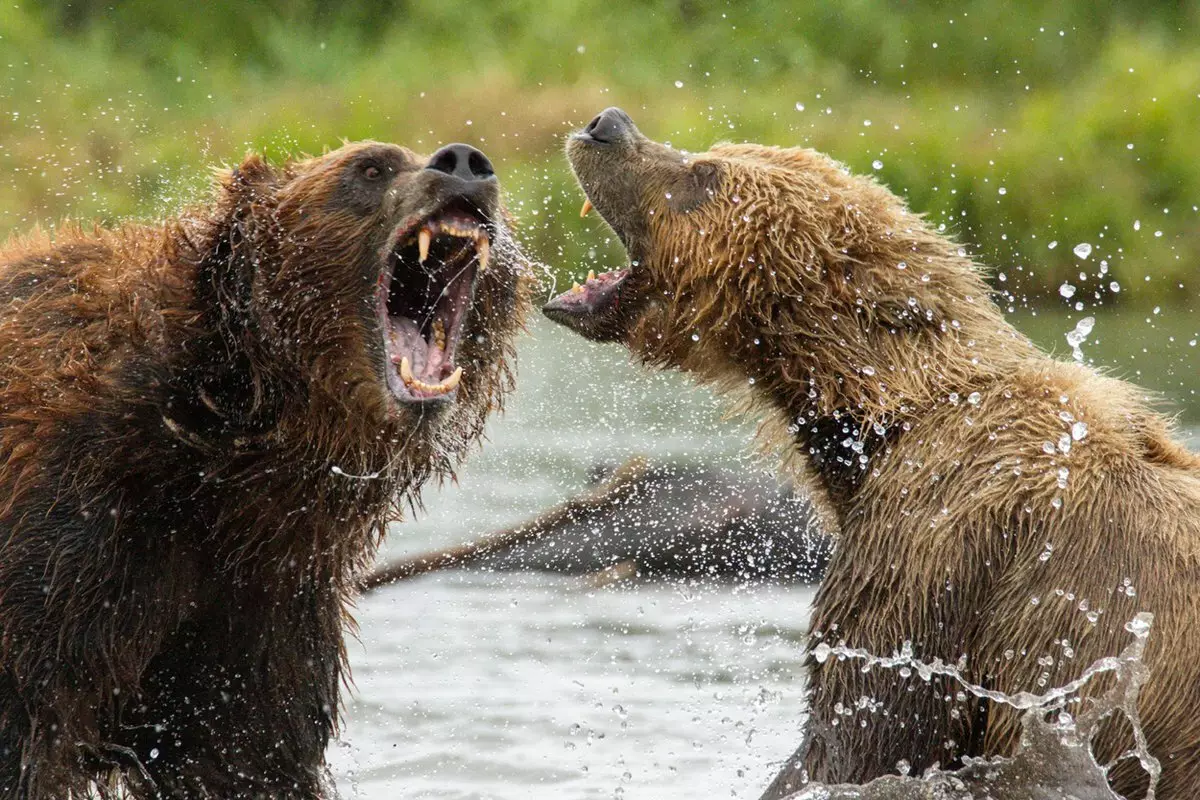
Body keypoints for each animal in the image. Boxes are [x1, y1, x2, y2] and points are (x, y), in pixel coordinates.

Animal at [547, 107, 1200, 800]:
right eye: (714, 152)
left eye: (706, 174)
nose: (607, 125)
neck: (876, 419)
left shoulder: (933, 549)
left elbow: (867, 731)